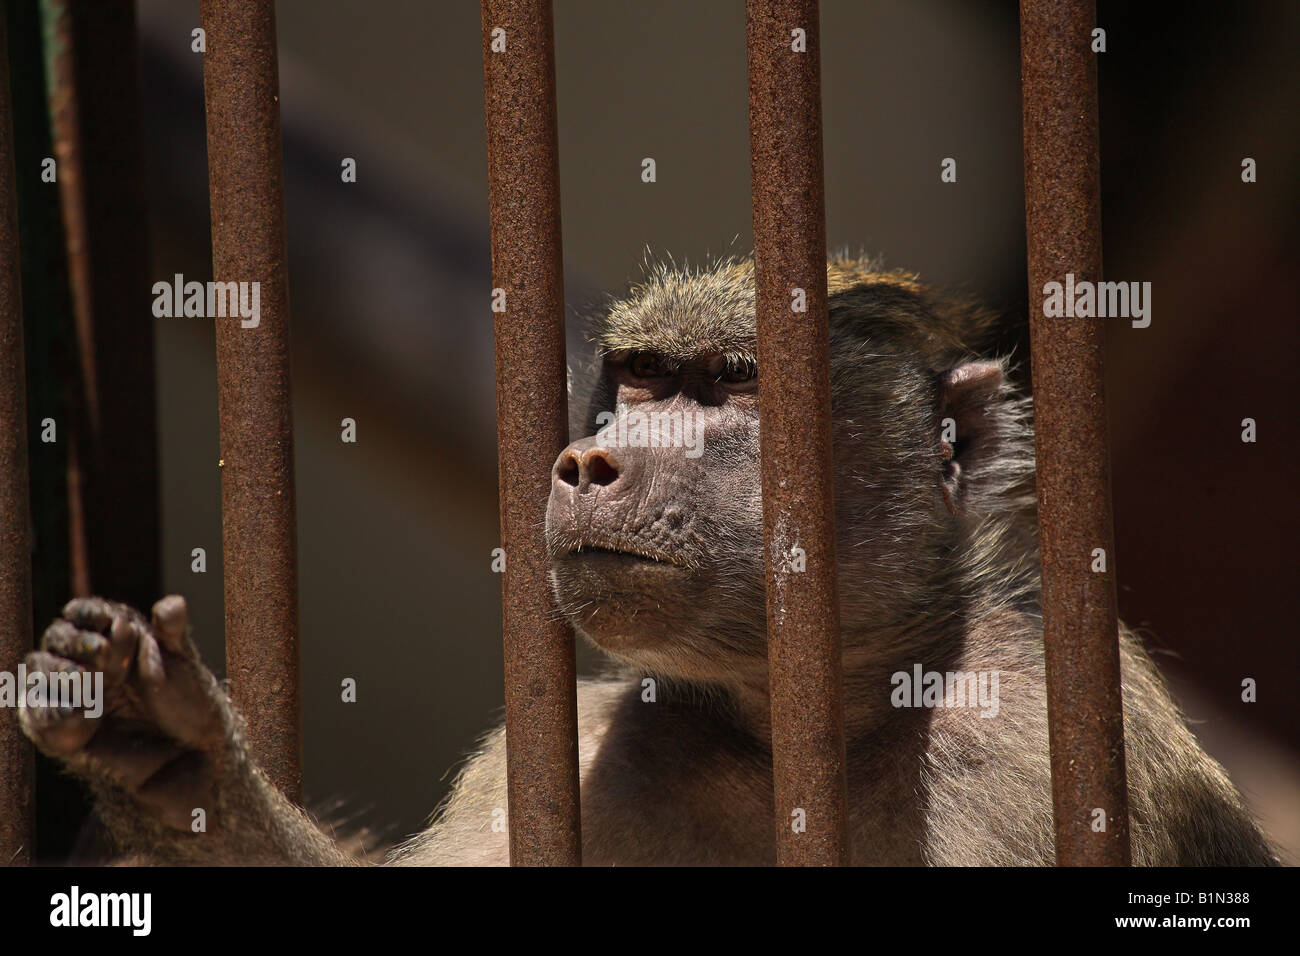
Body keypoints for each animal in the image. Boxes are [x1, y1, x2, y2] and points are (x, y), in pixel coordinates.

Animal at [16, 253, 1277, 866]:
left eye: (730, 382)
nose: (585, 462)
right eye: (639, 377)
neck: (799, 737)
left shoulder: (1039, 726)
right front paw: (177, 761)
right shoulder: (581, 751)